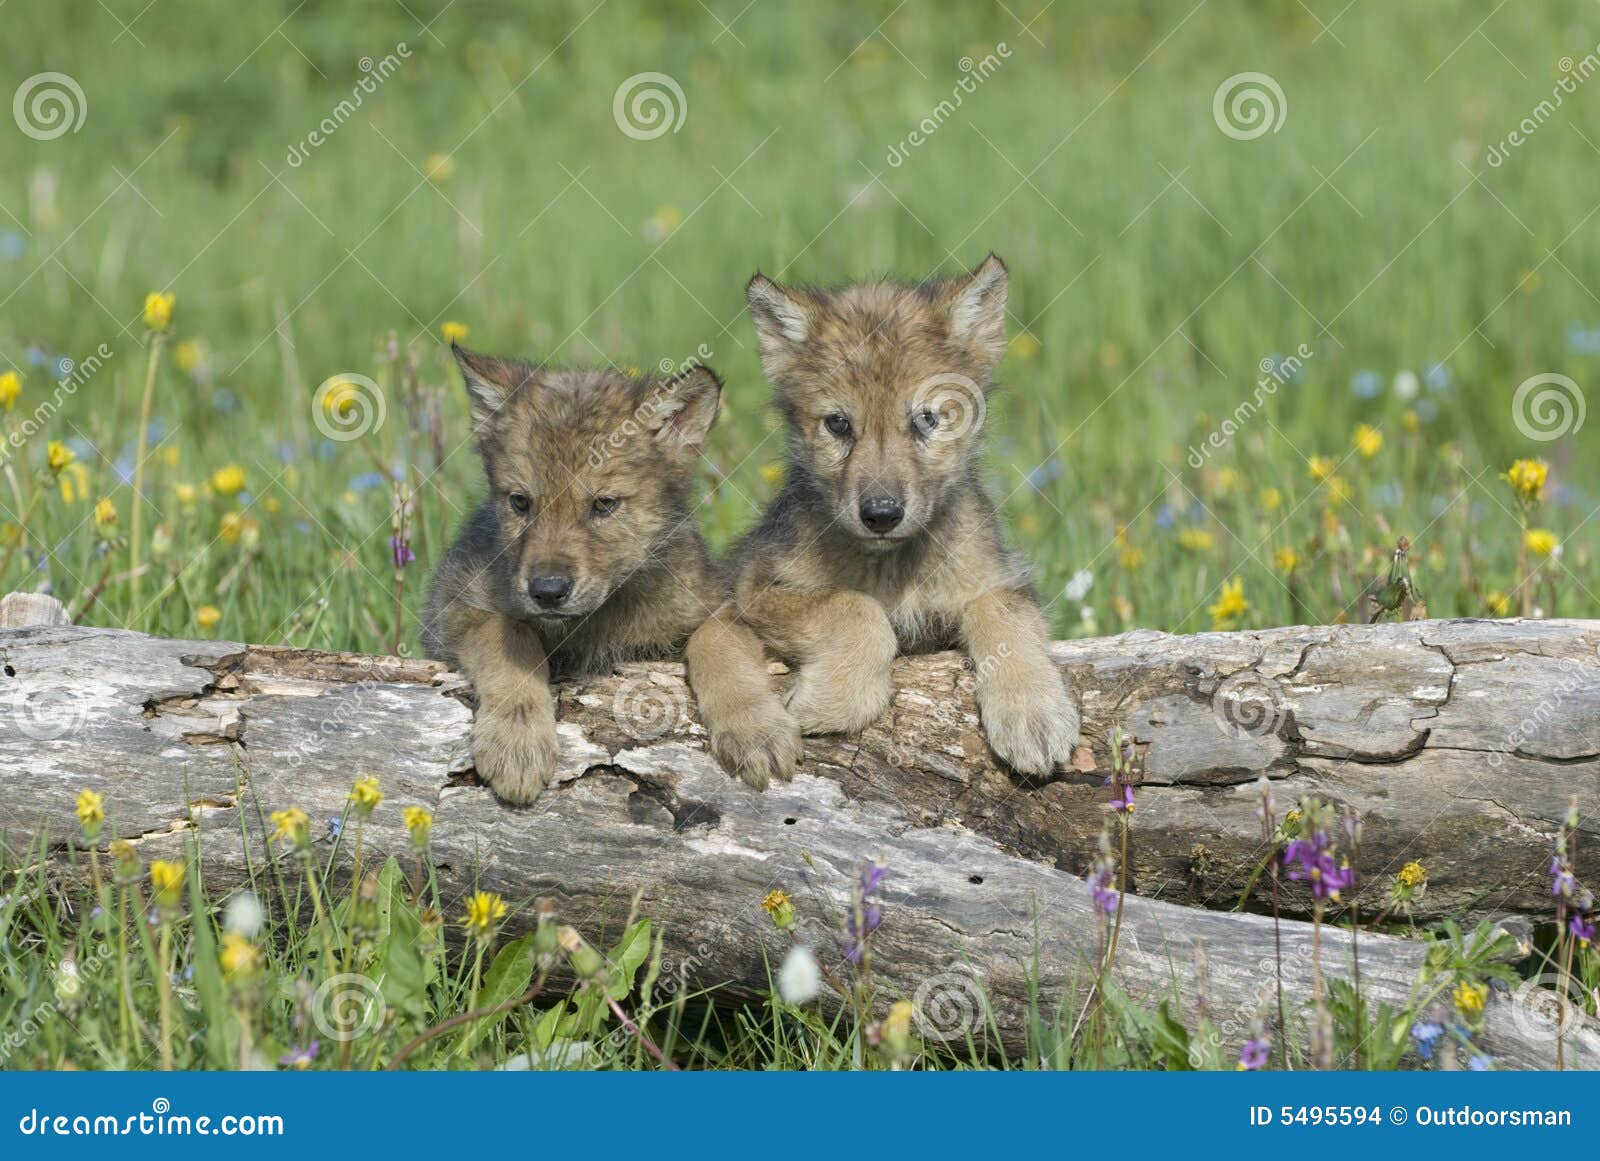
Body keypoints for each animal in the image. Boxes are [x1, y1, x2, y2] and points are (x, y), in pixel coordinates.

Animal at [424, 345, 723, 804]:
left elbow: (717, 638)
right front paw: (517, 743)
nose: (547, 591)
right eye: (520, 502)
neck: (586, 628)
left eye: (603, 504)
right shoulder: (453, 605)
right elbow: (510, 635)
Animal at [685, 254, 1079, 788]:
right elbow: (858, 609)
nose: (881, 514)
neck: (891, 567)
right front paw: (835, 701)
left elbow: (1002, 613)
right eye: (838, 424)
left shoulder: (998, 579)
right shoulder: (756, 587)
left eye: (927, 419)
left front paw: (1034, 715)